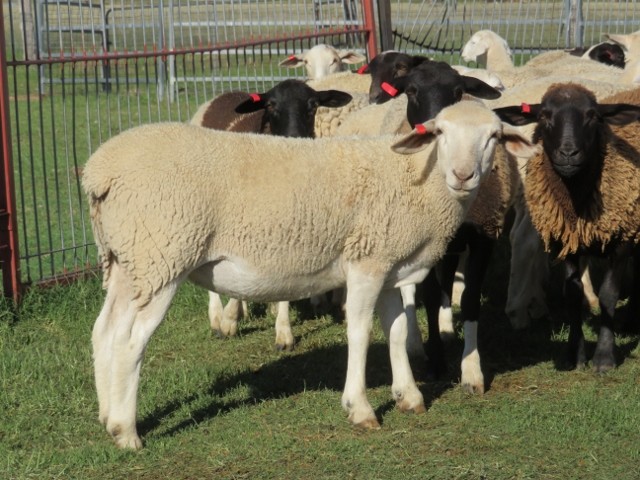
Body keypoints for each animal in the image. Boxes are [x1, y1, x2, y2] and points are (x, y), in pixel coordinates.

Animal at [190, 79, 353, 350]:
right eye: (271, 106)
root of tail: (225, 95)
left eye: (313, 105)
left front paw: (283, 332)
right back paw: (217, 317)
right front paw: (228, 321)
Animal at [494, 83, 640, 371]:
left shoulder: (622, 239)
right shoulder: (567, 242)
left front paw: (604, 358)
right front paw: (576, 355)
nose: (569, 153)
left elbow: (608, 295)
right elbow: (572, 295)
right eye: (544, 116)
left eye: (593, 116)